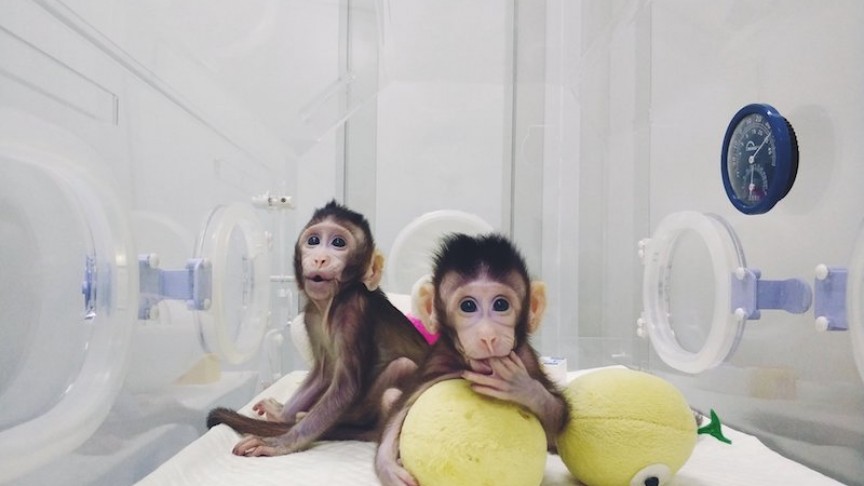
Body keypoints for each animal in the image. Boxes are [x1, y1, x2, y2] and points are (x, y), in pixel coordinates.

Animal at [207, 200, 431, 457]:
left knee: (401, 366)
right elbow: (322, 374)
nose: (320, 259)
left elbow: (346, 388)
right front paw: (281, 415)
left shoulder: (352, 311)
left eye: (338, 243)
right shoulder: (311, 316)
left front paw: (280, 442)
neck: (331, 306)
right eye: (313, 241)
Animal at [374, 233, 569, 486]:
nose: (487, 335)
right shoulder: (440, 361)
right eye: (468, 306)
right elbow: (402, 405)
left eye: (501, 304)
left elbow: (558, 418)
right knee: (390, 394)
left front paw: (522, 386)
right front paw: (388, 466)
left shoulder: (526, 359)